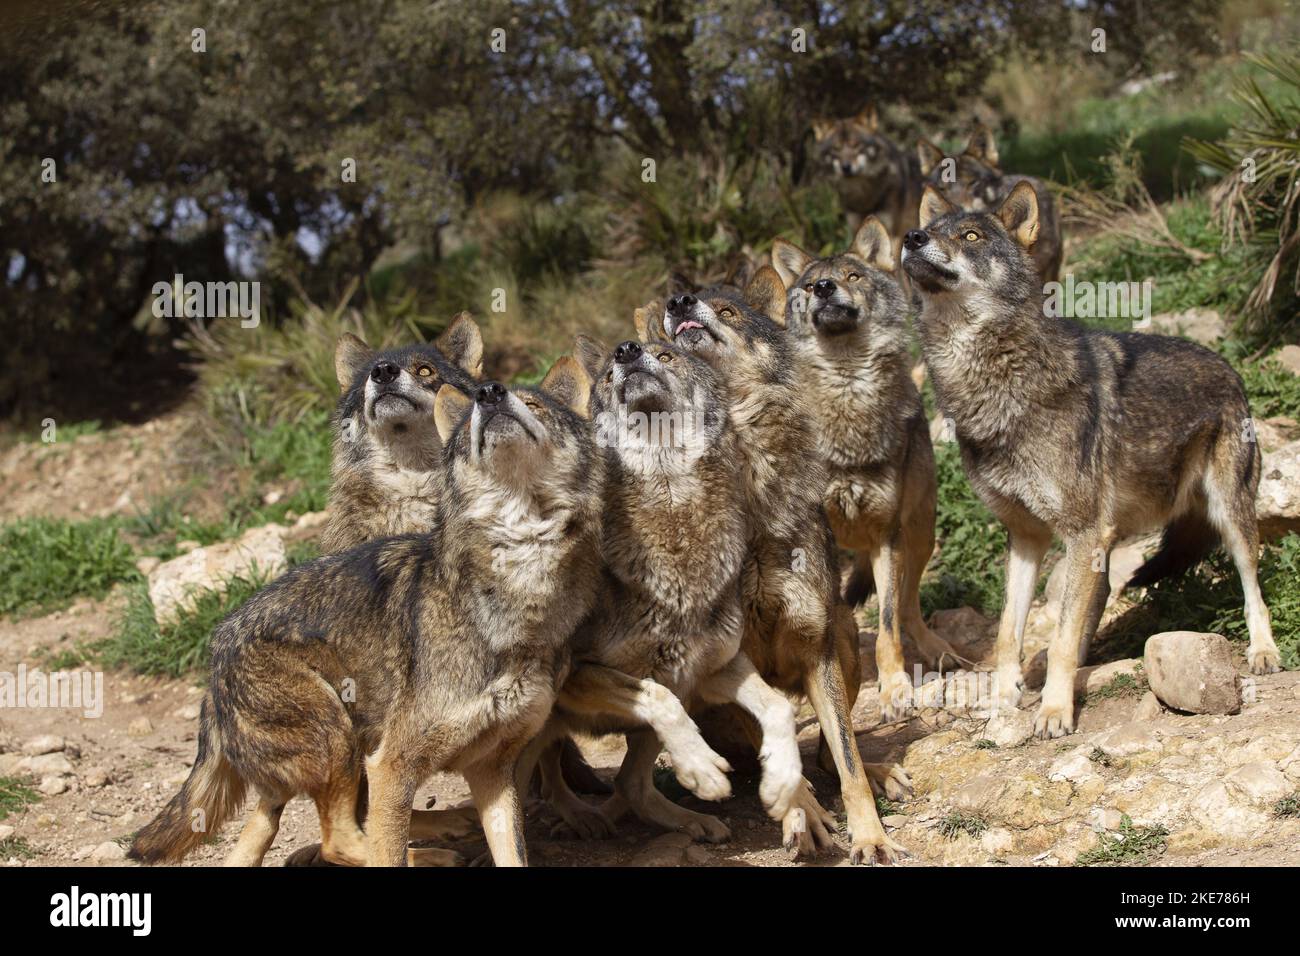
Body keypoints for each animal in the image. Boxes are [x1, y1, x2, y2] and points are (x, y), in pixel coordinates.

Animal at [129, 358, 609, 867]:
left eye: (534, 403)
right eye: (466, 427)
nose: (490, 395)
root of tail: (218, 646)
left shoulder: (493, 770)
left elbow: (511, 852)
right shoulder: (392, 764)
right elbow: (385, 844)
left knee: (280, 833)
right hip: (339, 738)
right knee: (340, 838)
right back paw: (435, 852)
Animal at [636, 284, 906, 864]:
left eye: (729, 311)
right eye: (666, 347)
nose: (679, 300)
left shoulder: (817, 649)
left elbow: (844, 759)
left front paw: (869, 836)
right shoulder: (730, 665)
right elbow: (780, 747)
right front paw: (804, 816)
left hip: (844, 635)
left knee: (834, 753)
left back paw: (880, 774)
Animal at [768, 220, 968, 721]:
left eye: (853, 276)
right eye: (808, 286)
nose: (824, 287)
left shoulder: (885, 537)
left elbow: (888, 625)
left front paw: (895, 689)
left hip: (919, 535)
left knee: (909, 607)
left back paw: (938, 650)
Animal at [812, 105, 923, 242]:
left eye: (856, 145)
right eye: (836, 149)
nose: (846, 167)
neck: (864, 198)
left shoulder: (894, 234)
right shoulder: (856, 228)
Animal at [902, 182, 1282, 740]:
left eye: (971, 236)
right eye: (930, 228)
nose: (912, 236)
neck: (996, 381)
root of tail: (1229, 367)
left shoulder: (1081, 531)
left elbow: (1058, 638)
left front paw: (1054, 713)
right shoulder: (1026, 538)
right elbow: (1007, 634)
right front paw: (1002, 703)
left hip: (1227, 517)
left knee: (1252, 586)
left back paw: (1263, 652)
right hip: (1105, 542)